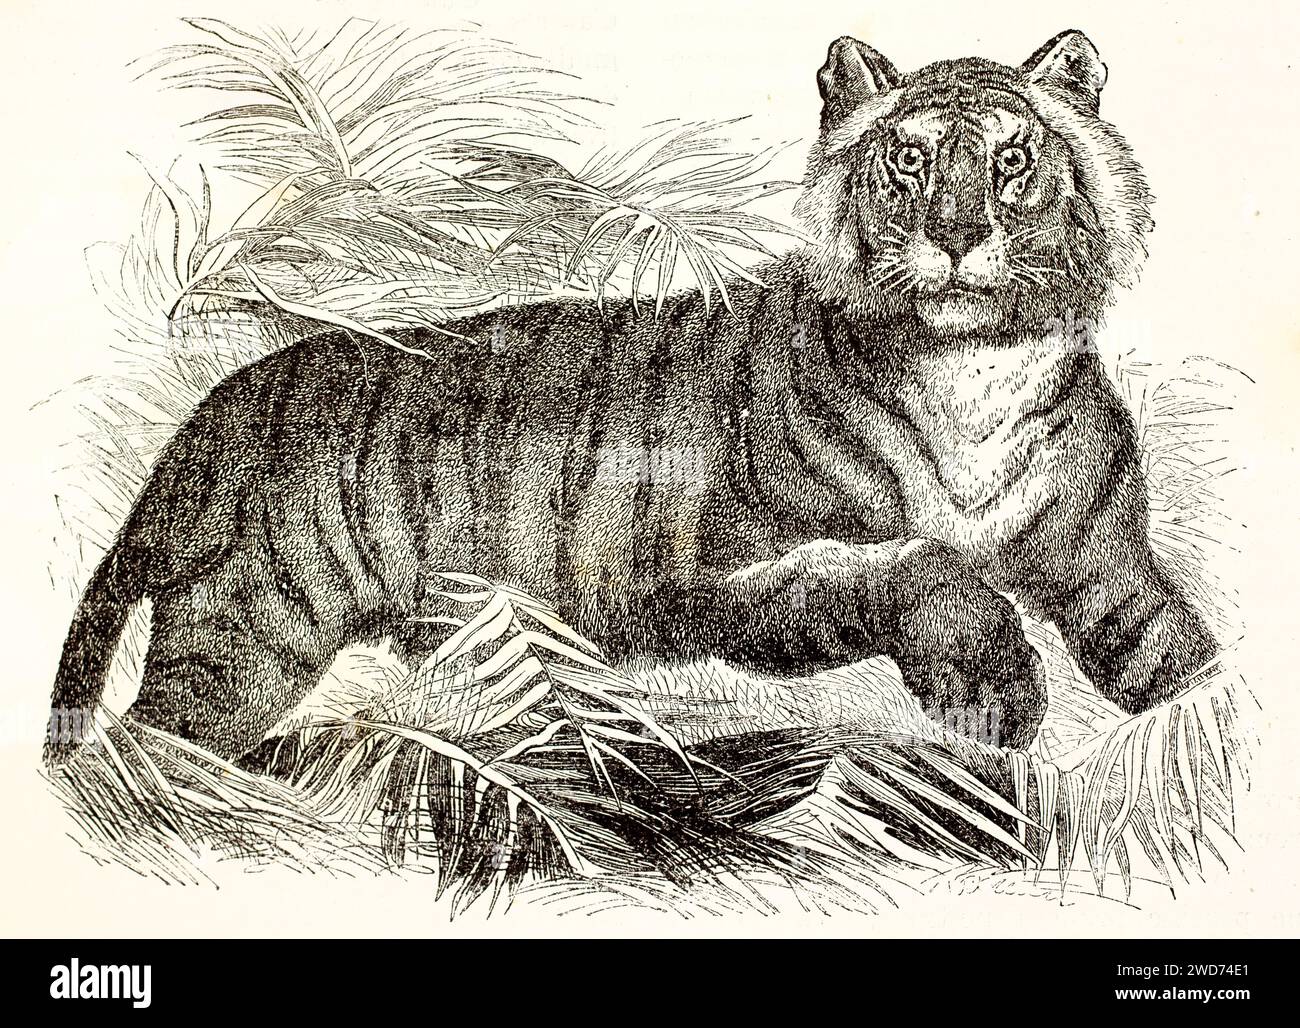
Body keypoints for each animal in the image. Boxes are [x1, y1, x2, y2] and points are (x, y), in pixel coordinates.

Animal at [48, 29, 1218, 763]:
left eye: (1014, 159)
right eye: (909, 162)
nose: (961, 235)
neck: (976, 370)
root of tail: (215, 412)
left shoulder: (1103, 559)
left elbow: (1179, 653)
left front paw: (1197, 728)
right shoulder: (710, 573)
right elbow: (909, 566)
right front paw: (994, 691)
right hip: (248, 627)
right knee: (132, 758)